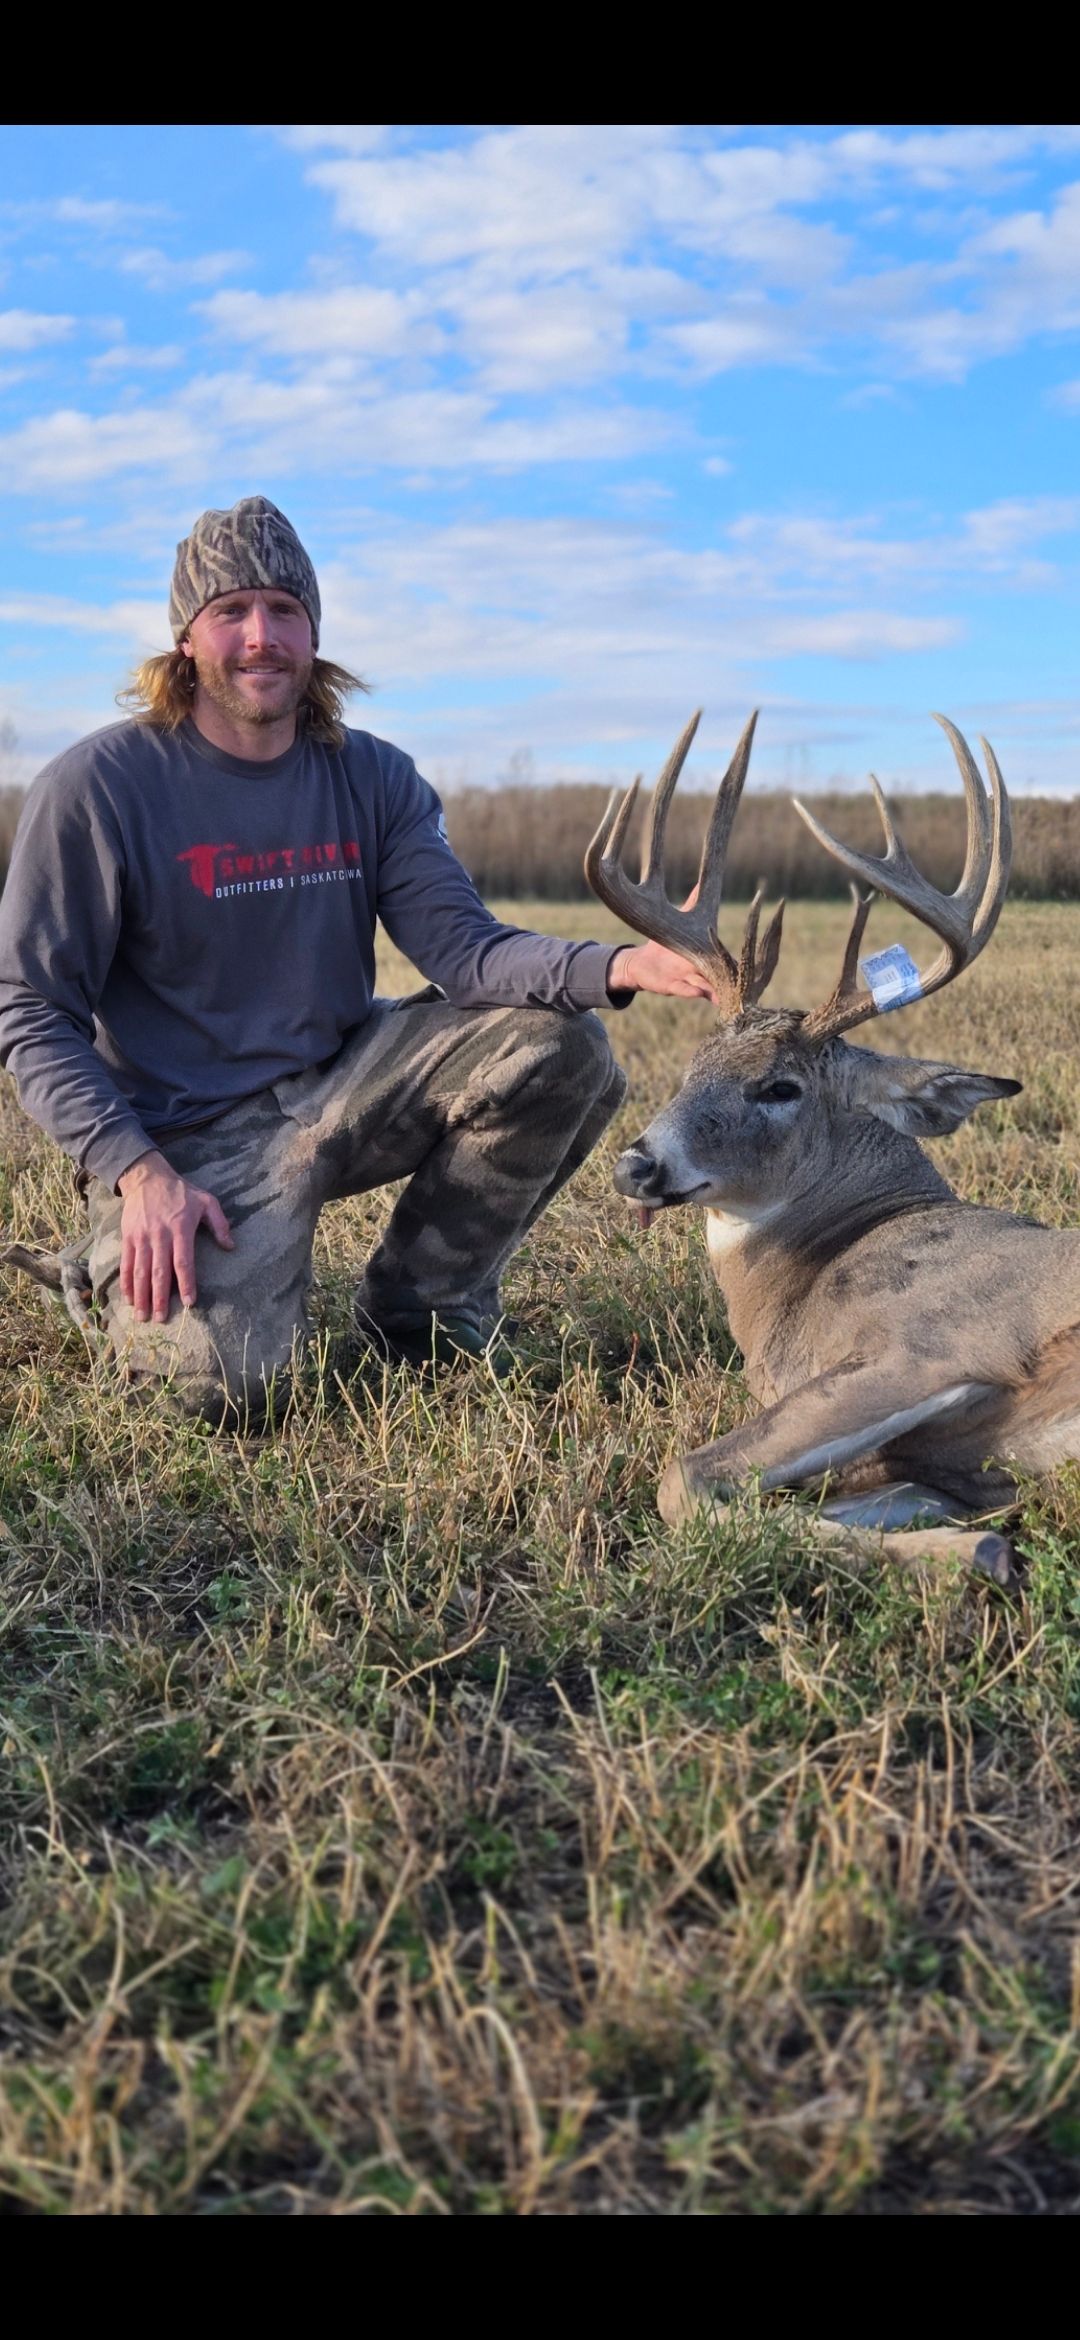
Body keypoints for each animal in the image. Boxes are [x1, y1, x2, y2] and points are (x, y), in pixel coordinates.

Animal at [586, 710, 1080, 1590]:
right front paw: (971, 1543)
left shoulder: (930, 1346)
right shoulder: (942, 1465)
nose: (636, 1164)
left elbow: (684, 1479)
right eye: (691, 1064)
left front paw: (974, 1554)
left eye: (781, 1087)